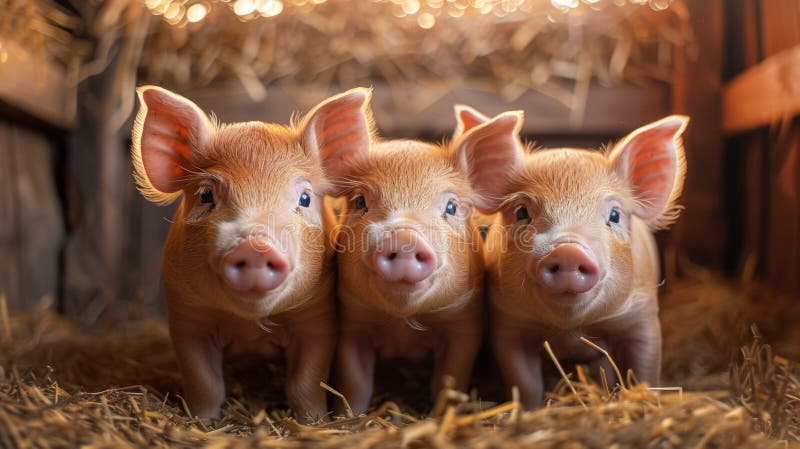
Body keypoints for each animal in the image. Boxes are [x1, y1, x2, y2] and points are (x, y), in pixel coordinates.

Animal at [131, 85, 373, 421]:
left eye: (305, 198)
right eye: (206, 194)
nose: (256, 246)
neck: (249, 326)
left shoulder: (316, 320)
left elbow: (305, 383)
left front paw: (314, 420)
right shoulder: (186, 318)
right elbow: (204, 384)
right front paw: (203, 420)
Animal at [322, 108, 516, 414]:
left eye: (451, 207)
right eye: (360, 201)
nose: (404, 237)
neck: (403, 324)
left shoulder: (462, 324)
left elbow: (448, 380)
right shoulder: (353, 322)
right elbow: (355, 384)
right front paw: (346, 416)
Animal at [457, 106, 687, 408]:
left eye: (615, 215)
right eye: (521, 212)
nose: (568, 250)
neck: (570, 329)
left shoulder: (642, 318)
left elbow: (644, 373)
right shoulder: (509, 325)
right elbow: (525, 383)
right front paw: (529, 410)